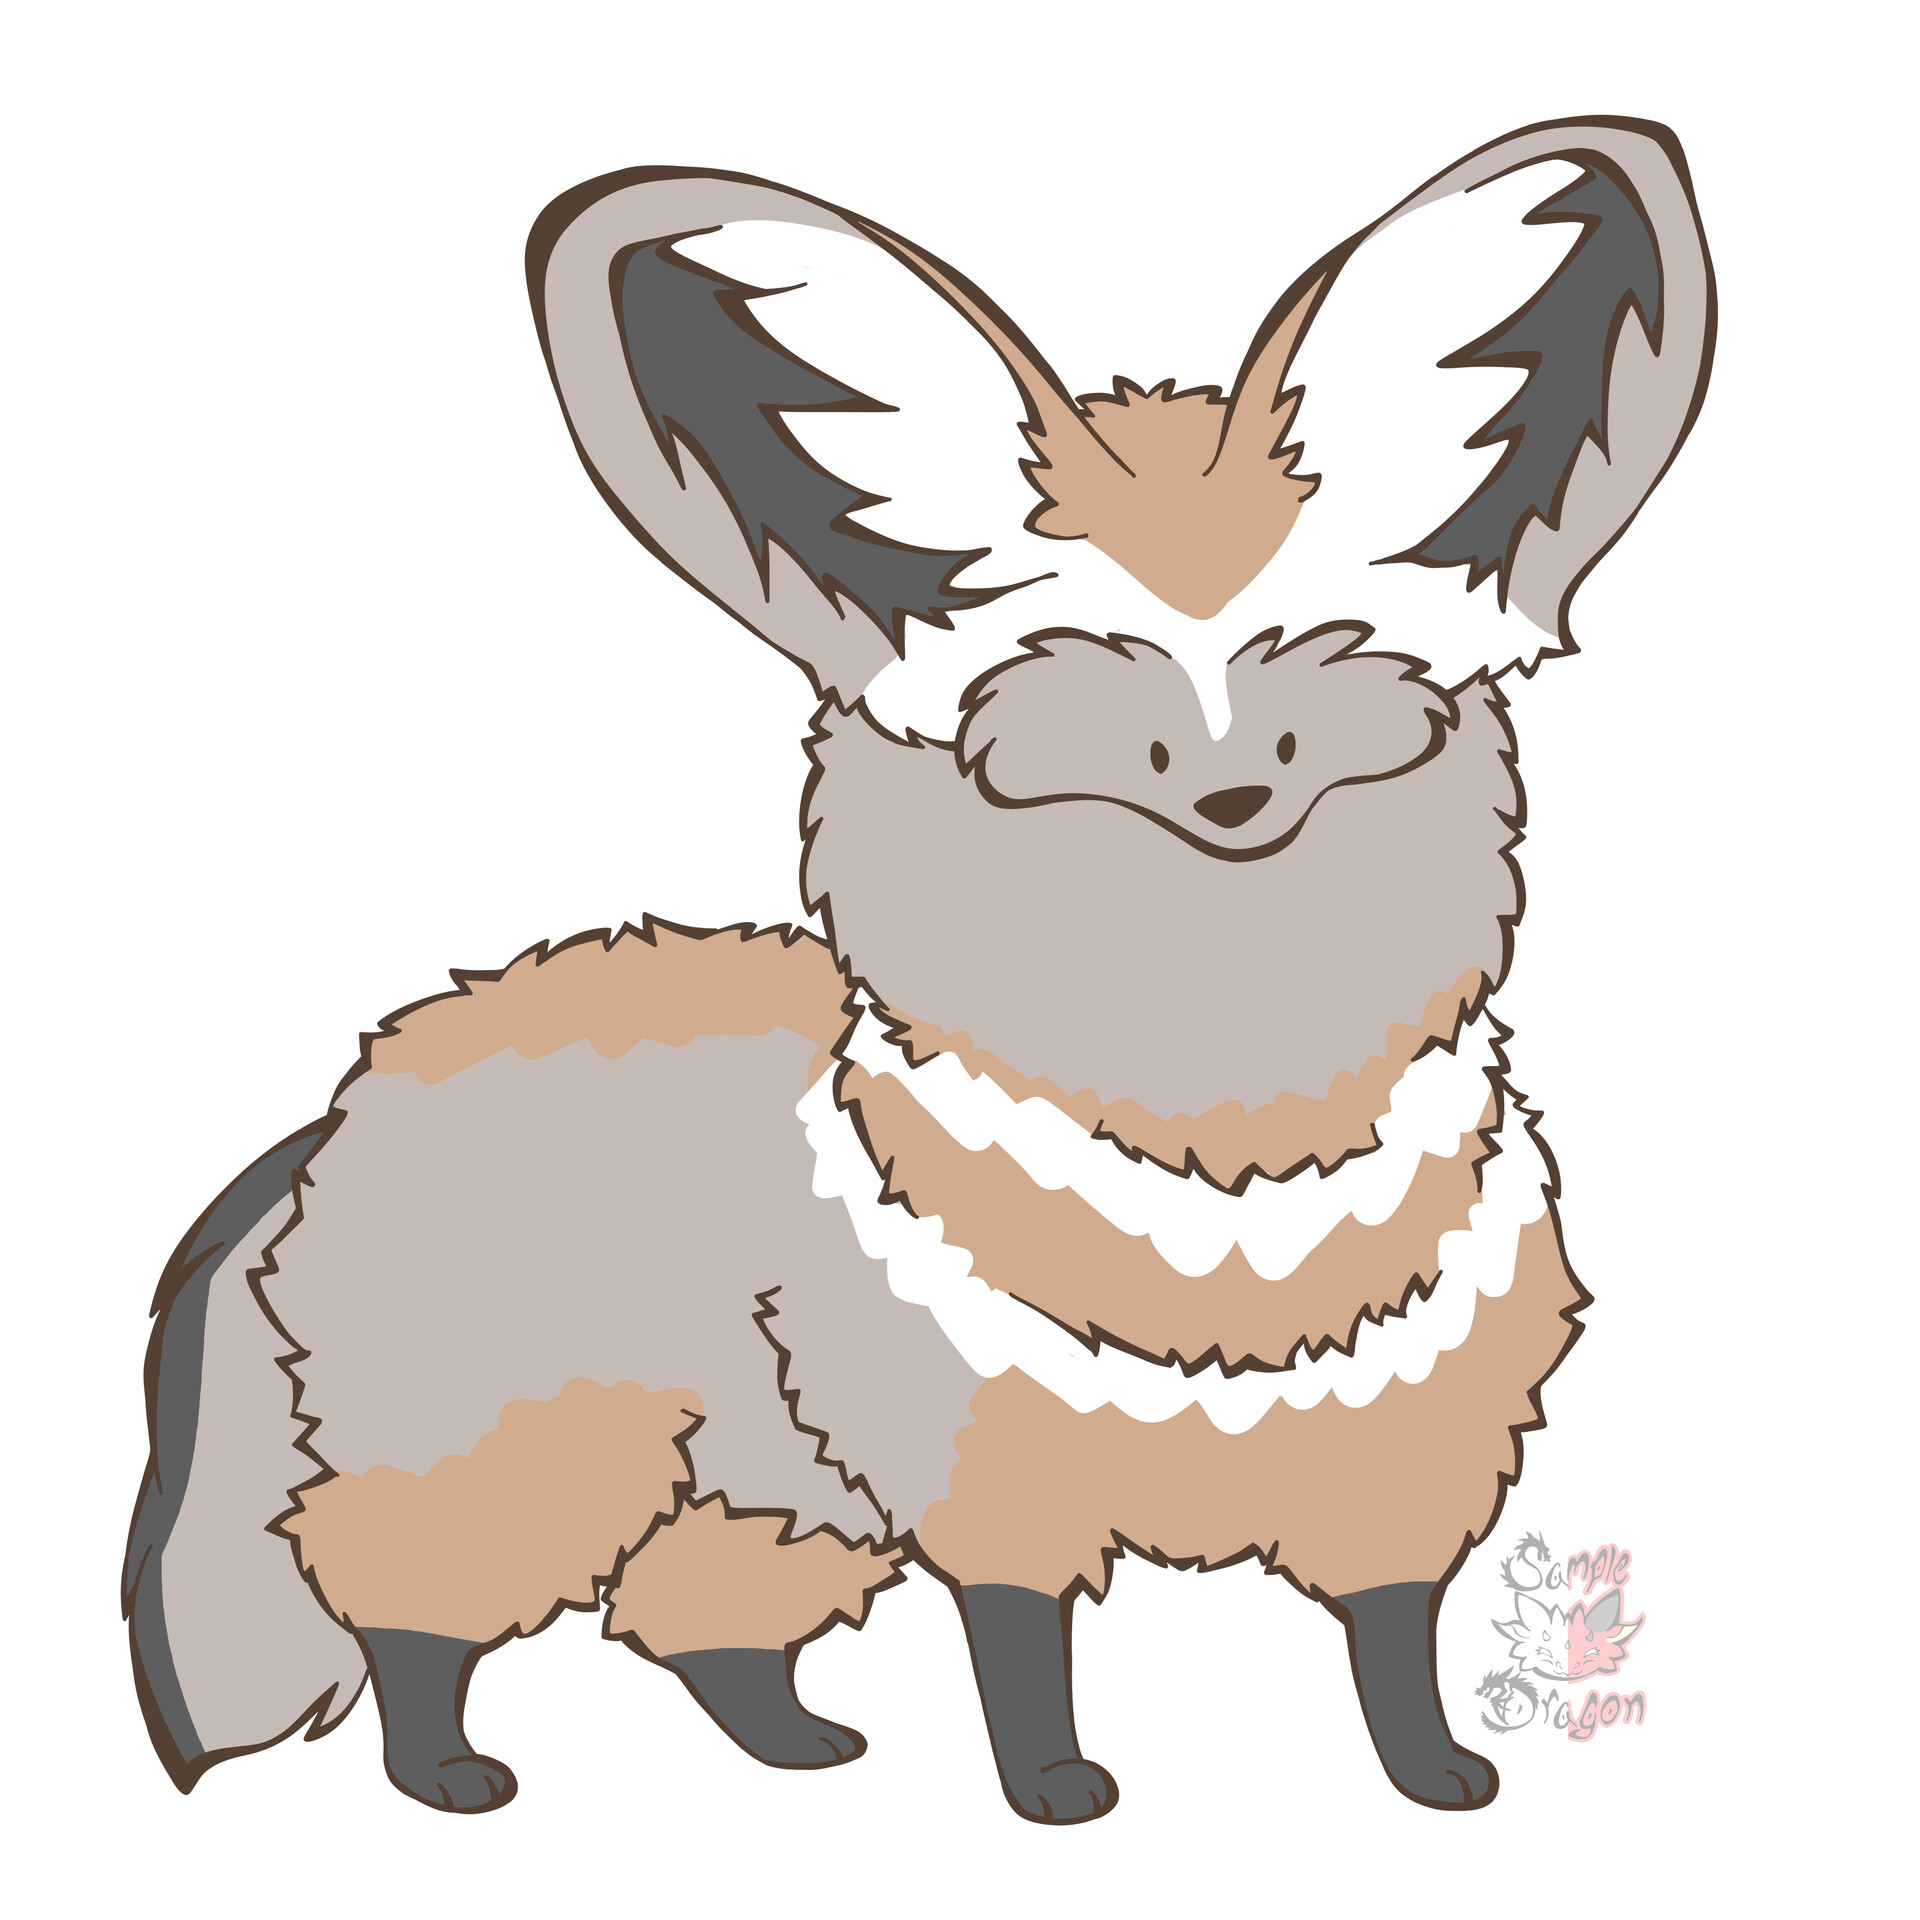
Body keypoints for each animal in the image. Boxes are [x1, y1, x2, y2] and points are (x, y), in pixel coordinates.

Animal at [123, 118, 1714, 1823]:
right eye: (1074, 721)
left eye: (1325, 694)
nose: (1234, 792)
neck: (1230, 1188)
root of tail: (354, 1089)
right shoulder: (997, 1478)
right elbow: (1024, 1649)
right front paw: (1055, 1792)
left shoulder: (1397, 1458)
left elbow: (1390, 1643)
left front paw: (1433, 1780)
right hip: (508, 1441)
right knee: (405, 1596)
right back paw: (448, 1773)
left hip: (763, 1479)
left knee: (693, 1618)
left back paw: (797, 1745)